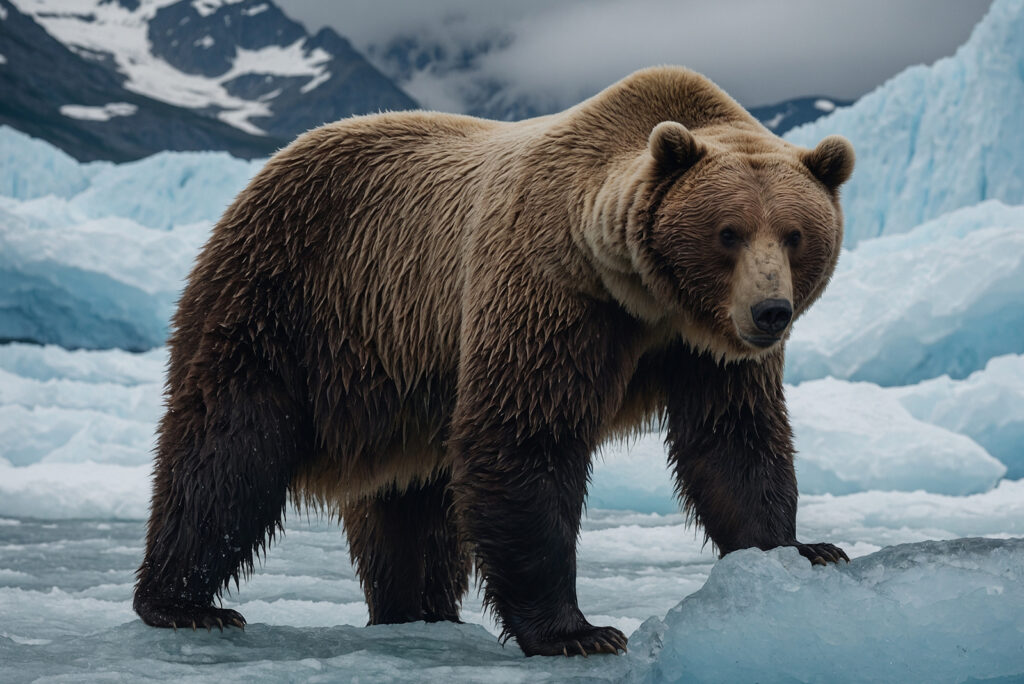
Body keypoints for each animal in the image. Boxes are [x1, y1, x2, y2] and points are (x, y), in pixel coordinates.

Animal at [133, 65, 854, 657]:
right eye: (729, 233)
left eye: (795, 235)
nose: (771, 312)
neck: (644, 293)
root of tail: (270, 166)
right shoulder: (550, 290)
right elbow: (524, 437)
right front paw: (578, 631)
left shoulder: (707, 351)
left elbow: (733, 441)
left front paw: (804, 550)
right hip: (288, 301)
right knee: (229, 453)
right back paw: (184, 602)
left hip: (400, 372)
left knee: (412, 506)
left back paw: (418, 610)